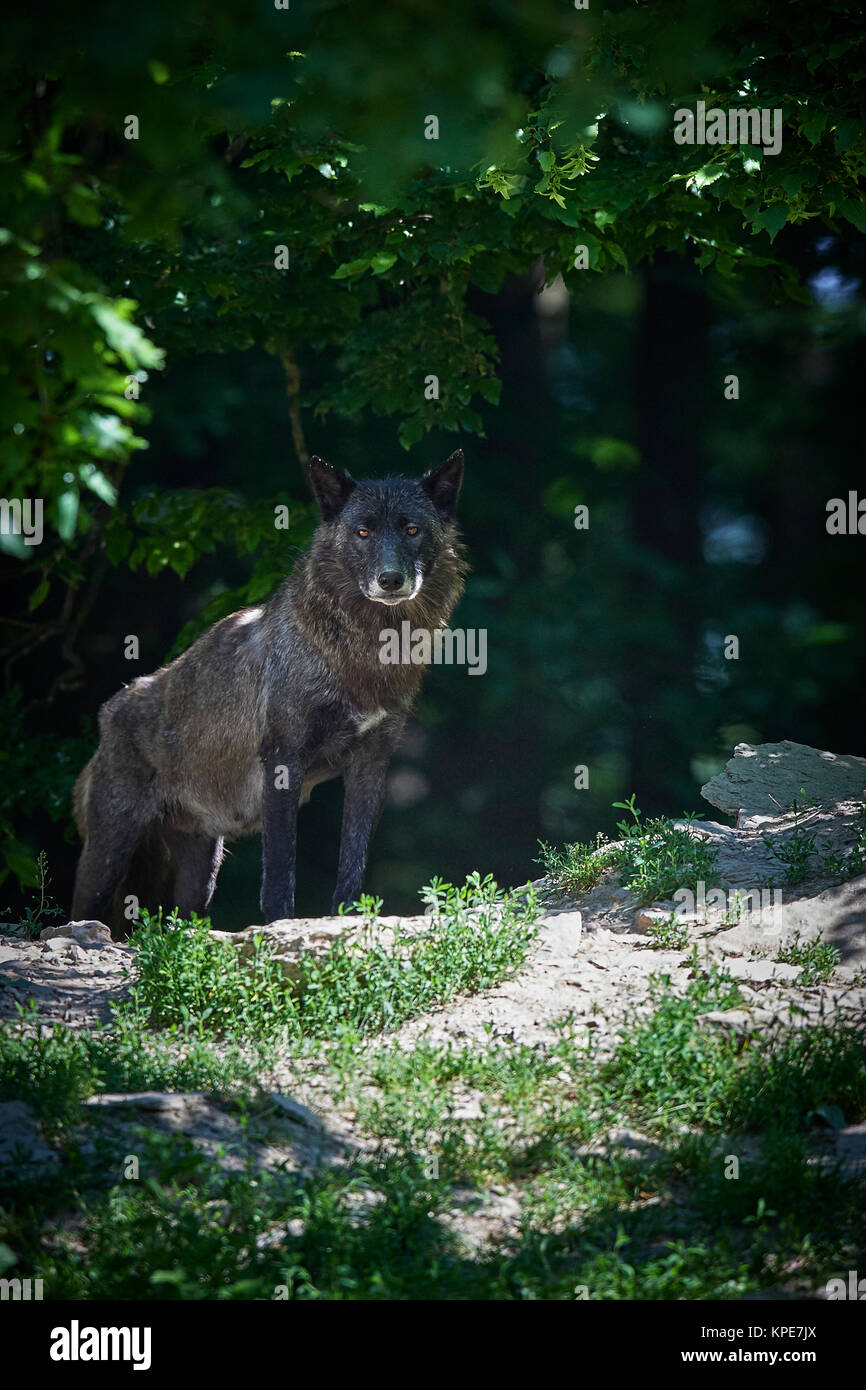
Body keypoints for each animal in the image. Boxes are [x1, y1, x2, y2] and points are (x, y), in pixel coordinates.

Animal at [72, 450, 466, 935]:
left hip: (202, 871)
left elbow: (352, 863)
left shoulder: (371, 763)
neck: (363, 653)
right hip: (109, 857)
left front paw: (348, 920)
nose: (390, 579)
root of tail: (110, 710)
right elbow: (280, 870)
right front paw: (280, 926)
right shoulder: (282, 760)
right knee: (79, 912)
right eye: (363, 532)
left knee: (181, 923)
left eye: (412, 530)